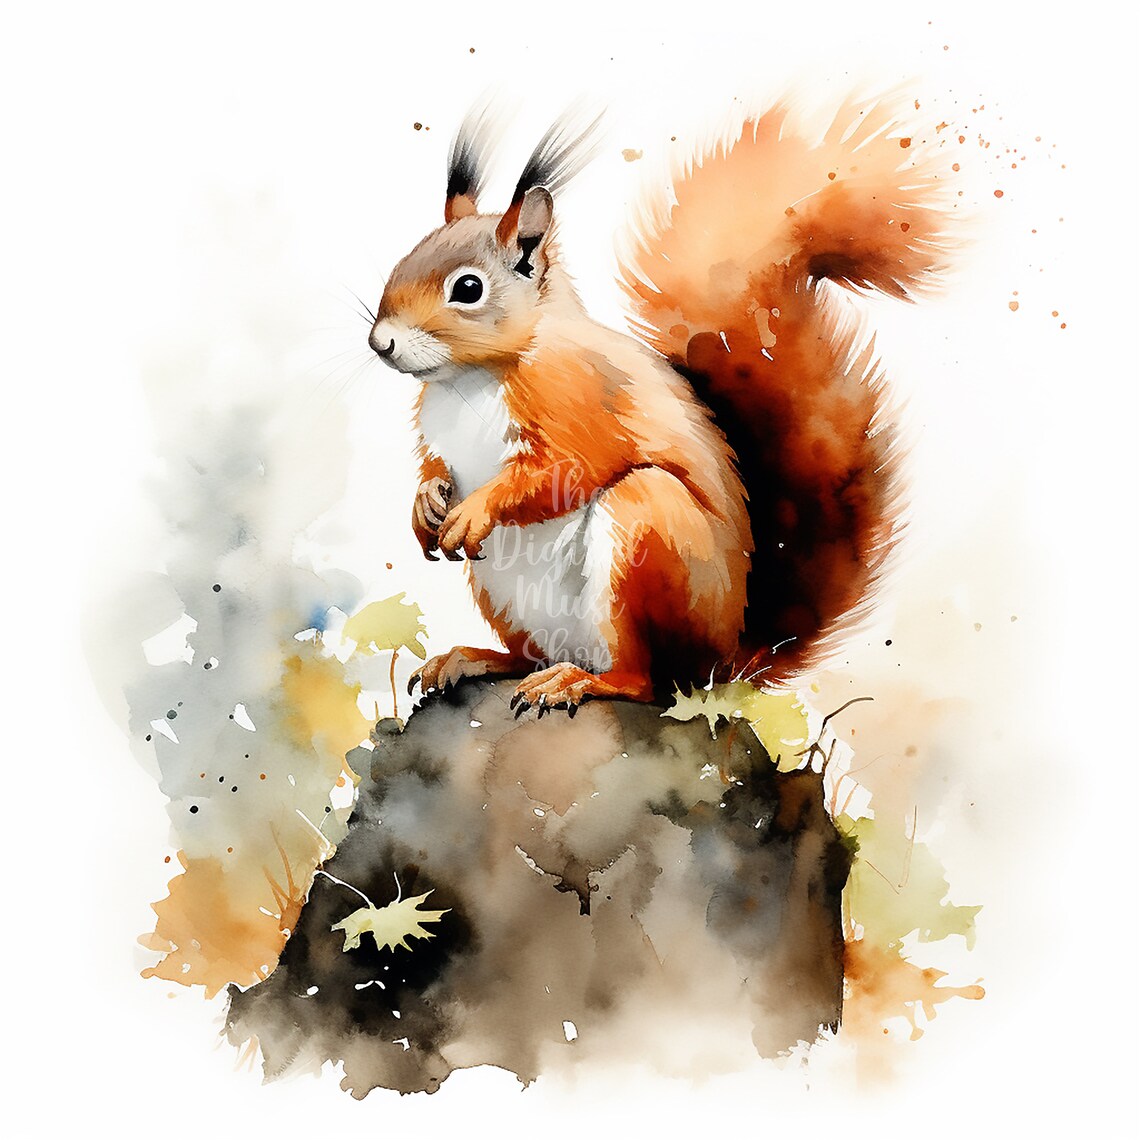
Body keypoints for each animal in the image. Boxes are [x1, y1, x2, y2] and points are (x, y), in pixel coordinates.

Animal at [367, 98, 947, 715]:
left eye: (468, 289)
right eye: (402, 259)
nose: (381, 343)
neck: (469, 378)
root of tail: (725, 662)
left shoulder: (578, 400)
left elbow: (563, 472)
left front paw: (474, 510)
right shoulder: (440, 436)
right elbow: (435, 468)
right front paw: (425, 505)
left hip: (645, 530)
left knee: (643, 681)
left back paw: (579, 681)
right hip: (505, 595)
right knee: (531, 655)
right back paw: (475, 659)